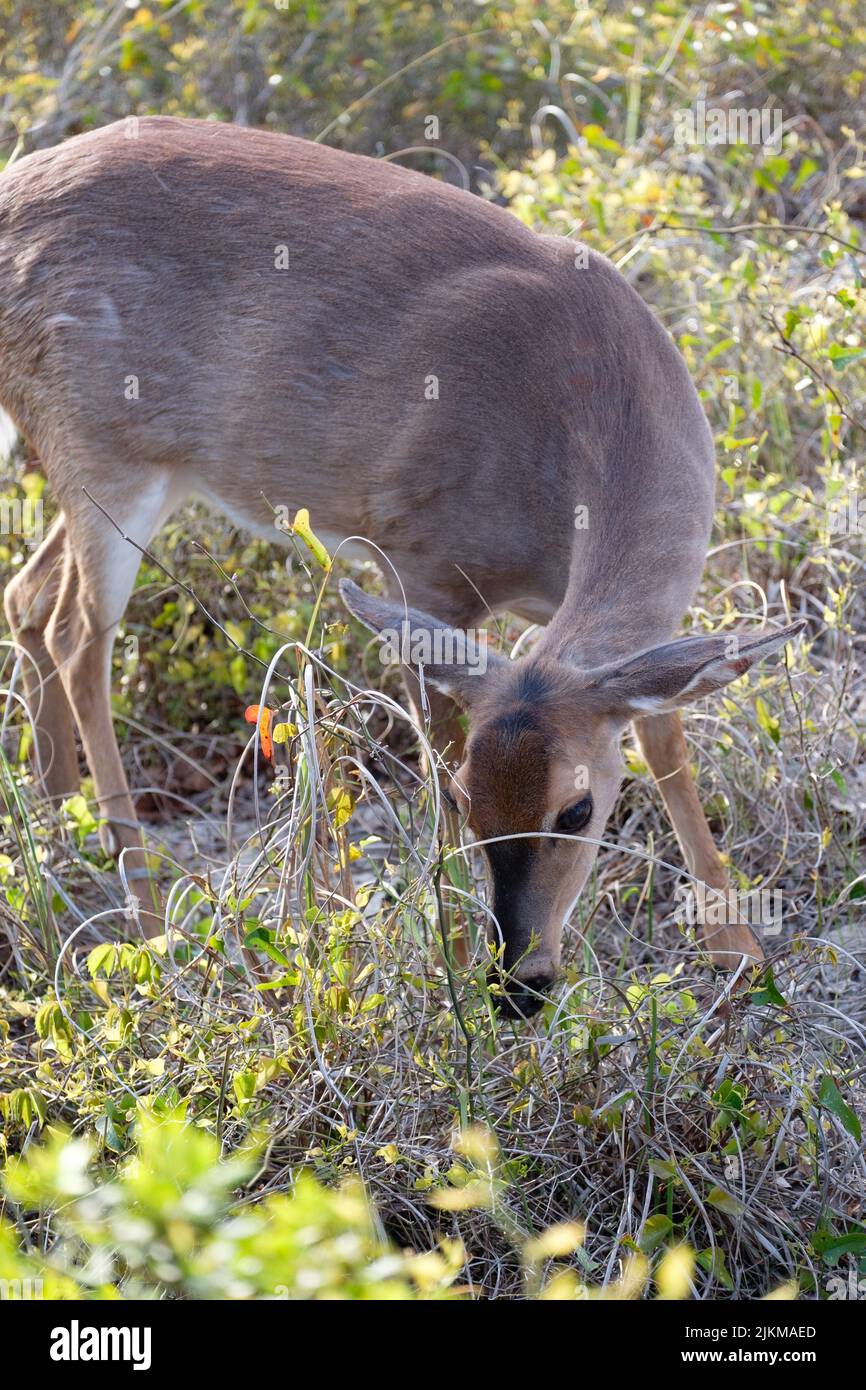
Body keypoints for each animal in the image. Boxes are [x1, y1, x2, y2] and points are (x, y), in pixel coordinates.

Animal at [0, 116, 803, 1015]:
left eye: (578, 808)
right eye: (469, 799)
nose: (518, 985)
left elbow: (666, 737)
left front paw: (740, 952)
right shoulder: (423, 571)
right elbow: (434, 755)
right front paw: (449, 956)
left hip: (123, 476)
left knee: (28, 596)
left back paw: (60, 829)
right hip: (105, 458)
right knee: (77, 633)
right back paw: (144, 922)